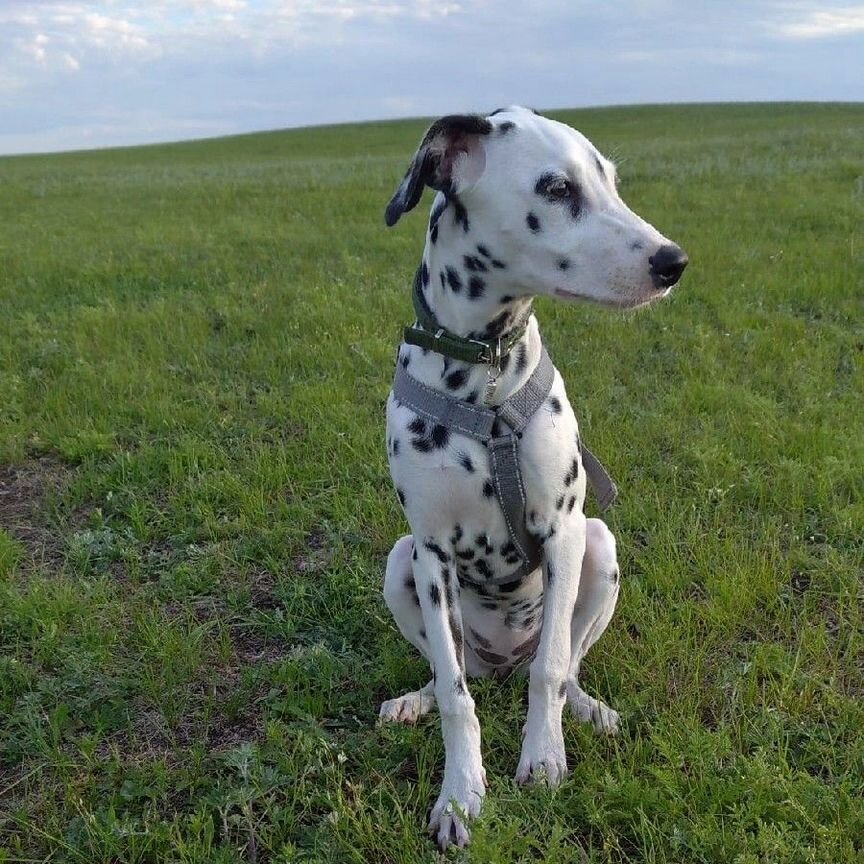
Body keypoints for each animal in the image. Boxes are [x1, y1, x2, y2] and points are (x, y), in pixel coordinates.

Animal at [378, 104, 688, 848]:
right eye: (556, 188)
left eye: (610, 180)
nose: (673, 262)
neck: (483, 376)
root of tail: (501, 662)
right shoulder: (430, 553)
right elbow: (456, 699)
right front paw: (460, 795)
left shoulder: (564, 532)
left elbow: (548, 670)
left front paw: (543, 757)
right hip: (398, 565)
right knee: (452, 672)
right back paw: (416, 698)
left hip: (600, 548)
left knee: (563, 664)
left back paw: (585, 710)